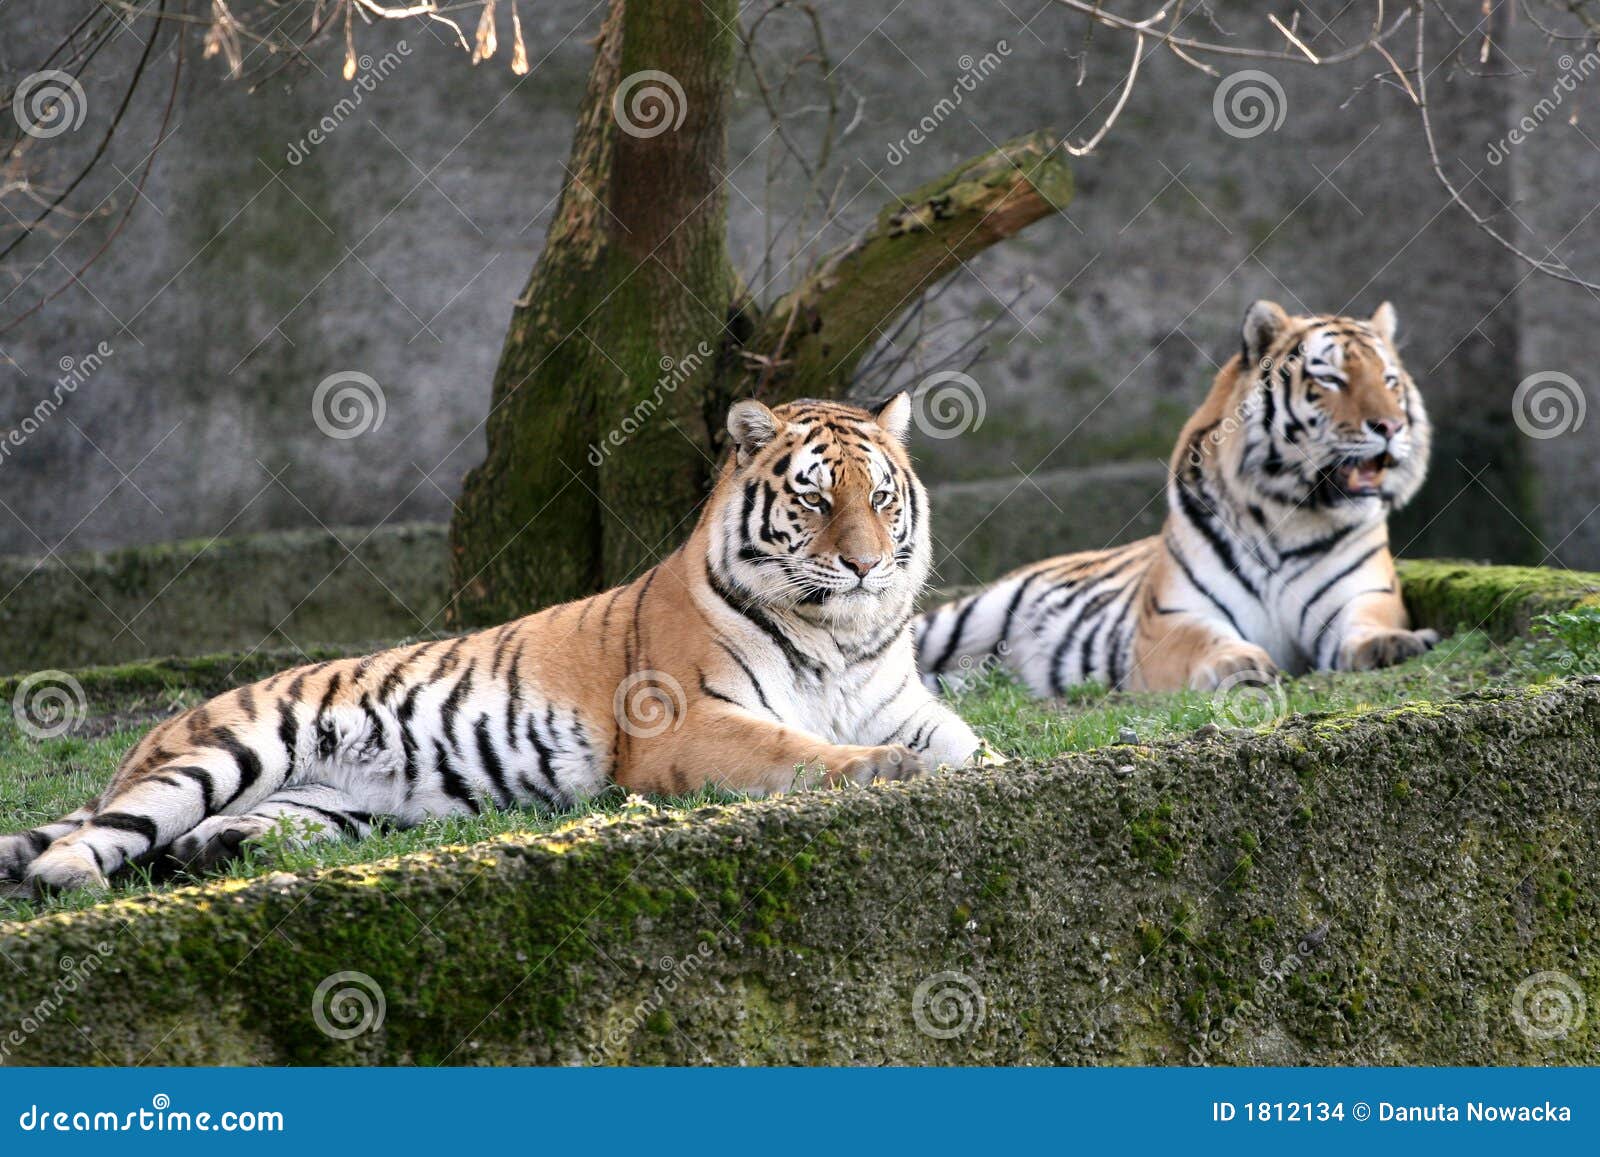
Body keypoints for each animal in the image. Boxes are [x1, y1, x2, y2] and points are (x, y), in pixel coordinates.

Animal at [3, 395, 989, 895]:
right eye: (816, 499)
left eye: (881, 497)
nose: (865, 564)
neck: (840, 635)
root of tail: (152, 735)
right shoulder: (686, 724)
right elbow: (797, 748)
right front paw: (876, 769)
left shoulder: (908, 704)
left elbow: (970, 747)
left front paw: (981, 766)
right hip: (222, 753)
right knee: (93, 837)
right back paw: (76, 881)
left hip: (332, 809)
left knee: (210, 834)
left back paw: (216, 856)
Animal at [915, 300, 1436, 696]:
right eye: (1330, 379)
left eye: (1389, 380)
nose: (1391, 426)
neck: (1288, 513)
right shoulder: (1175, 618)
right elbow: (1205, 642)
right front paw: (1235, 662)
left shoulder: (1364, 594)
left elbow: (1367, 624)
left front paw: (1395, 643)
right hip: (960, 619)